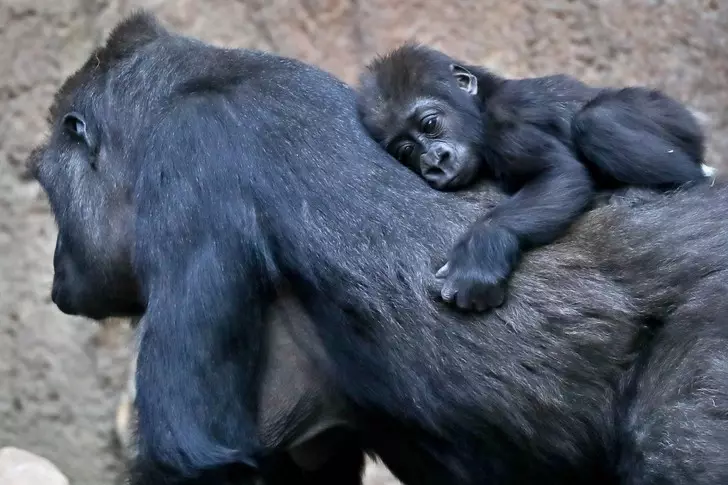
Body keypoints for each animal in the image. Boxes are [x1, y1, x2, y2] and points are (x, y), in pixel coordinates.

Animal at [356, 44, 712, 310]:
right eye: (406, 151)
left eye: (429, 124)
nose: (434, 162)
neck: (482, 104)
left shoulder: (507, 121)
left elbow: (558, 173)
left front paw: (482, 250)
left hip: (670, 117)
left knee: (600, 120)